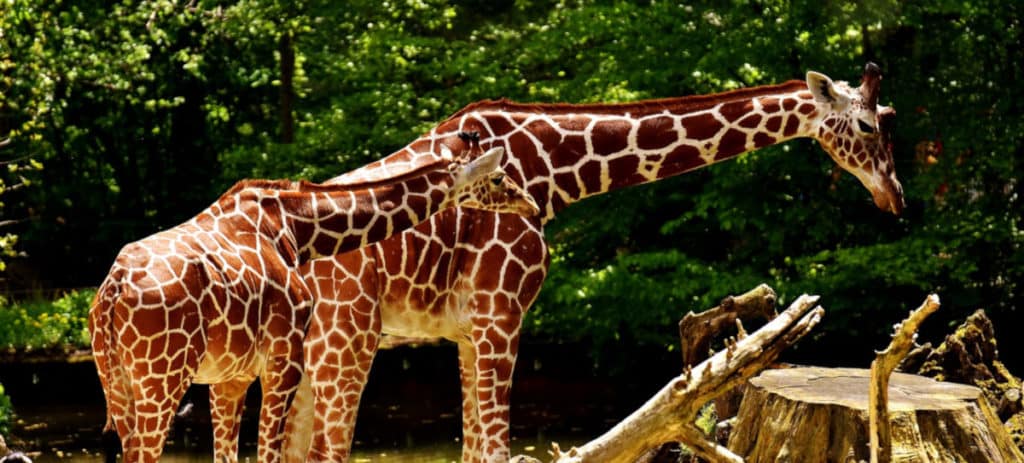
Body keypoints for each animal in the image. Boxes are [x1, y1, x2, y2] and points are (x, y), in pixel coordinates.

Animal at [87, 145, 539, 463]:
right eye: (499, 178)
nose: (530, 205)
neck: (296, 228)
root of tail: (112, 291)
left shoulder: (231, 376)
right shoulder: (283, 359)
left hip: (118, 384)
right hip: (162, 379)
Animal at [280, 63, 904, 462]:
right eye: (867, 125)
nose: (894, 197)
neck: (554, 172)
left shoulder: (467, 329)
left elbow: (475, 448)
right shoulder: (500, 316)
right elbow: (492, 449)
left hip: (304, 356)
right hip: (348, 340)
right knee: (326, 450)